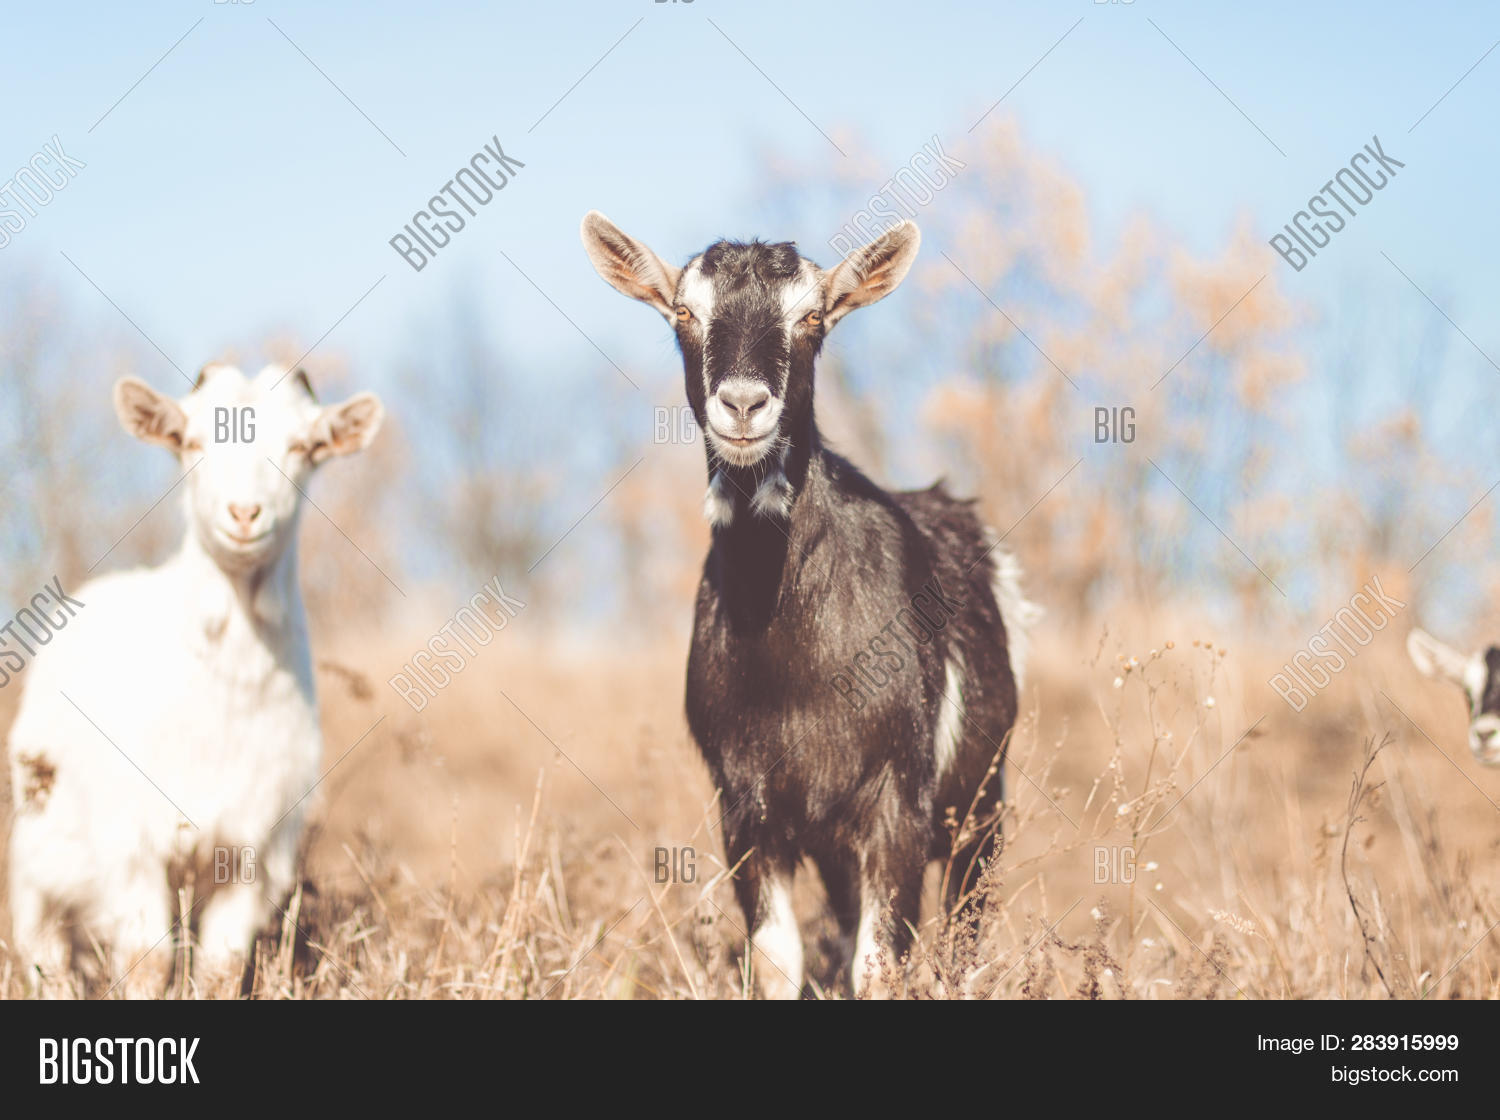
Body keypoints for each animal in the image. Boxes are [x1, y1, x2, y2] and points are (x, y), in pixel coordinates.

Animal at [7, 363, 383, 996]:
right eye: (191, 441)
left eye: (303, 447)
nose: (244, 514)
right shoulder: (130, 845)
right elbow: (147, 960)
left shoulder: (255, 847)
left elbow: (221, 967)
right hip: (39, 837)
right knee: (43, 948)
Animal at [581, 212, 1038, 997]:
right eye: (684, 313)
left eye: (813, 318)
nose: (742, 405)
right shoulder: (746, 806)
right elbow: (776, 960)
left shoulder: (897, 801)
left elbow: (880, 965)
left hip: (982, 803)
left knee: (964, 930)